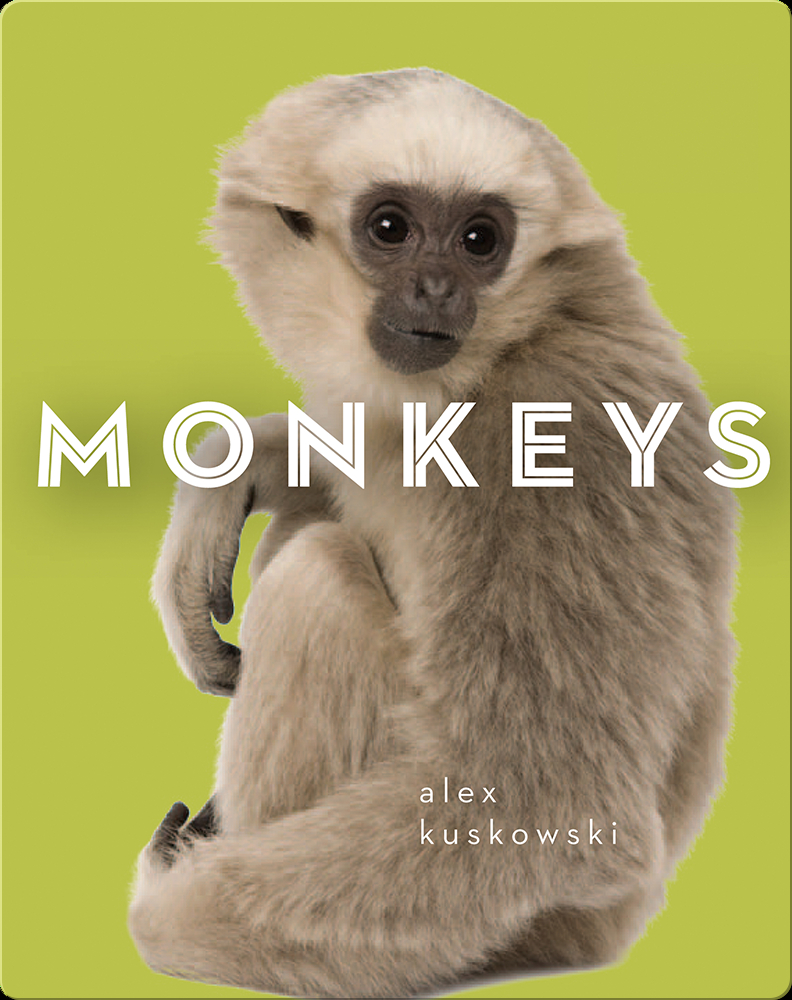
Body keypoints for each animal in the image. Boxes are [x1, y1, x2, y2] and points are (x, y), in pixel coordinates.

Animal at [128, 69, 737, 998]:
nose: (438, 288)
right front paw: (230, 473)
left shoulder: (559, 437)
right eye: (392, 229)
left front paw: (162, 907)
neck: (504, 350)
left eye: (480, 240)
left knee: (317, 575)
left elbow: (544, 803)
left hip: (535, 923)